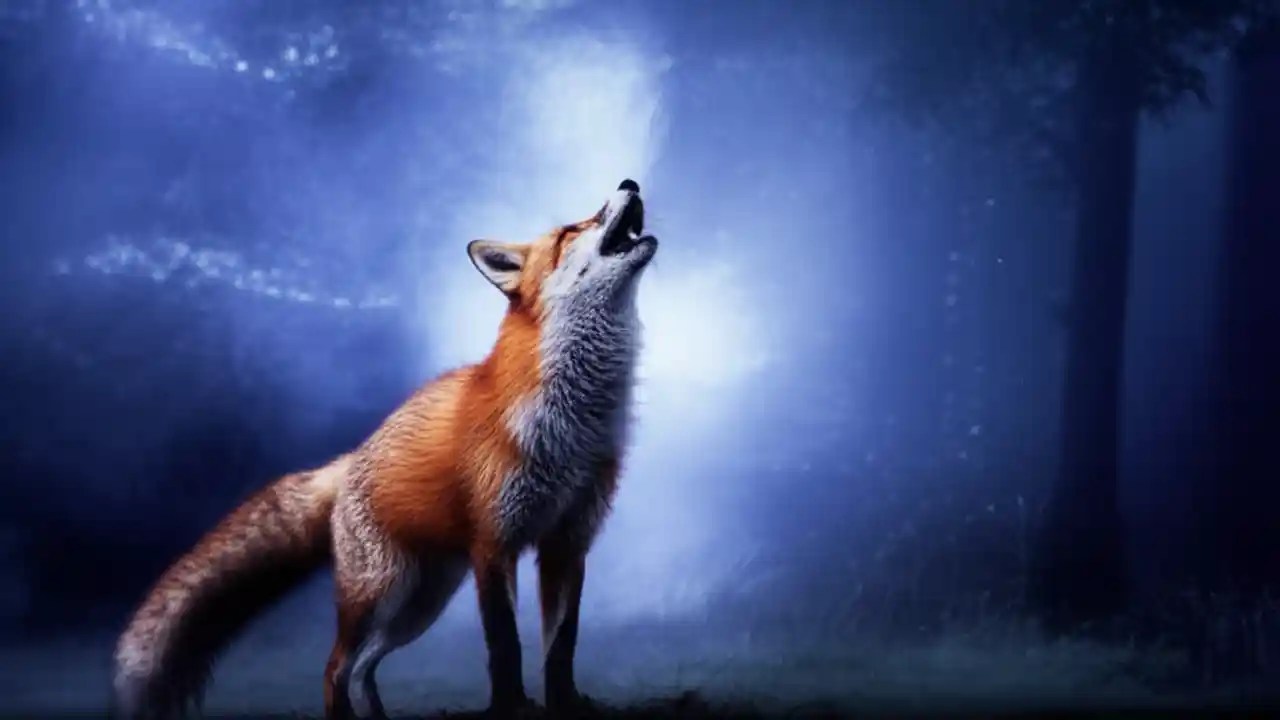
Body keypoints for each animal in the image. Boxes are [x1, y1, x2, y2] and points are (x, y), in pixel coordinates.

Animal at [112, 179, 659, 720]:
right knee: (335, 667)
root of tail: (350, 460)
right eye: (572, 229)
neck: (573, 422)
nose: (630, 183)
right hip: (381, 594)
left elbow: (561, 646)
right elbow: (505, 646)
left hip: (420, 603)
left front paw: (566, 705)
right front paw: (512, 709)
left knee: (362, 667)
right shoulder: (494, 545)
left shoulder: (568, 542)